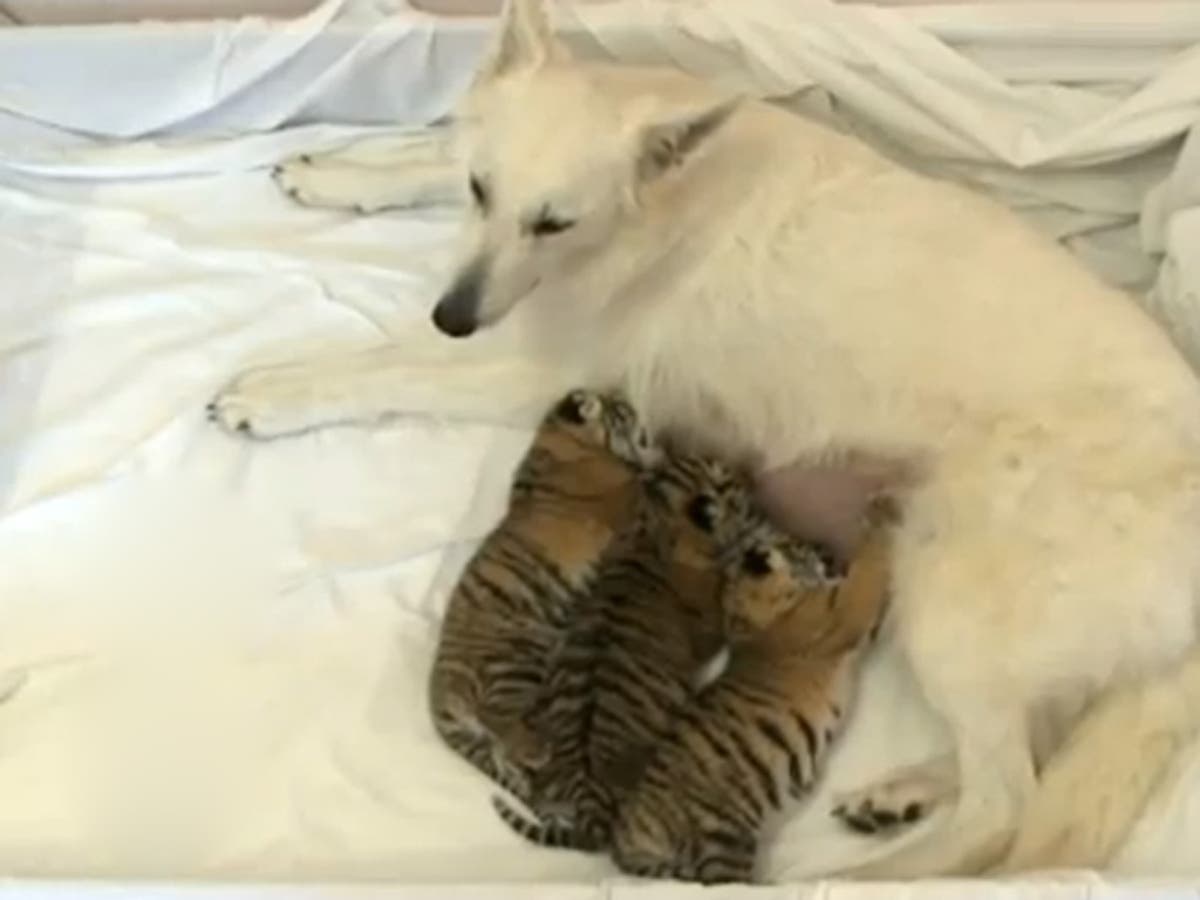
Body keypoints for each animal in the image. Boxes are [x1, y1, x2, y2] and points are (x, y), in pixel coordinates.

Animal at [428, 387, 661, 795]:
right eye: (620, 410)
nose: (629, 403)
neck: (563, 434)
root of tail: (440, 690)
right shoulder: (630, 498)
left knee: (497, 749)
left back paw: (523, 777)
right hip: (513, 663)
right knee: (497, 719)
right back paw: (538, 753)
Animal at [609, 494, 897, 884]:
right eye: (800, 545)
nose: (826, 550)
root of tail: (625, 835)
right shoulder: (844, 611)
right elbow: (869, 563)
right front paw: (881, 509)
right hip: (721, 834)